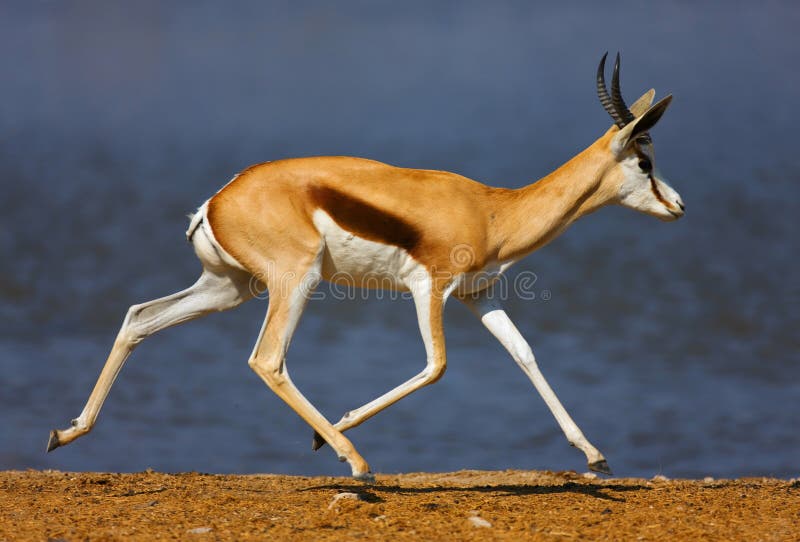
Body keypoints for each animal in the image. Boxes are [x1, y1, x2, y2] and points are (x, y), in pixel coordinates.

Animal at [48, 53, 683, 480]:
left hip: (231, 287)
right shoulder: (430, 288)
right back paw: (355, 463)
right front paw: (324, 437)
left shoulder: (479, 295)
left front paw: (595, 455)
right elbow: (436, 366)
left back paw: (66, 432)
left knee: (140, 317)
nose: (678, 205)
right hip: (294, 281)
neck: (493, 210)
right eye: (645, 160)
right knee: (268, 359)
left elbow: (525, 354)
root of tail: (218, 200)